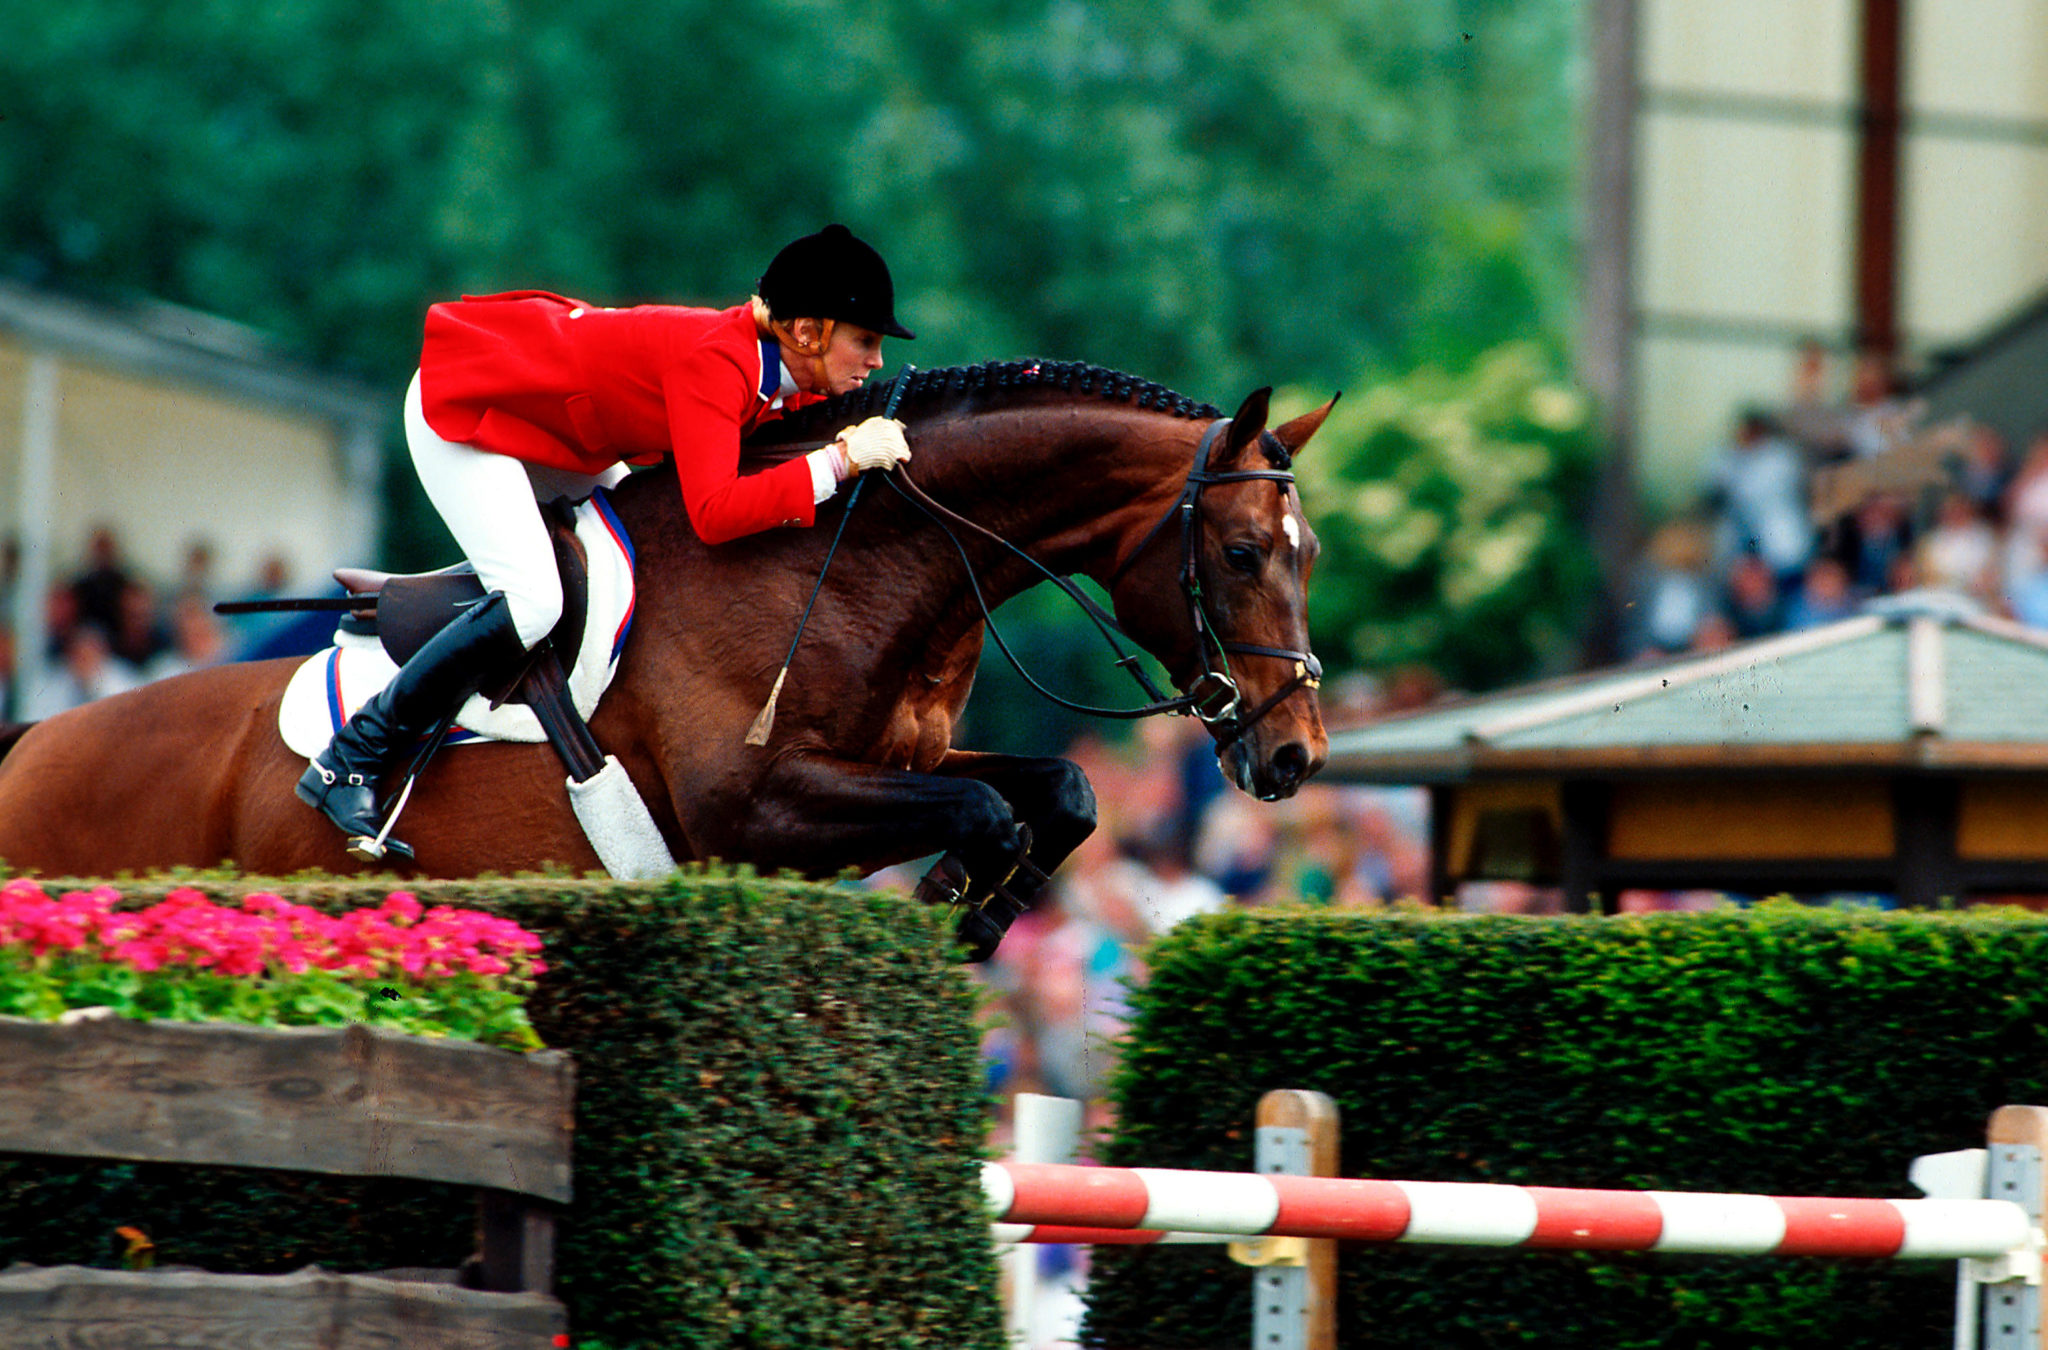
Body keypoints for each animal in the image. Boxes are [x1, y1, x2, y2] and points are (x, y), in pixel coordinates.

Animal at [0, 361, 1333, 954]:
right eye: (1240, 551)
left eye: (1307, 552)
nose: (1296, 758)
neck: (861, 564)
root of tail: (35, 738)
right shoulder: (755, 808)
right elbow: (987, 810)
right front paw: (960, 898)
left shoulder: (895, 763)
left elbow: (1056, 789)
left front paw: (974, 908)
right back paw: (351, 785)